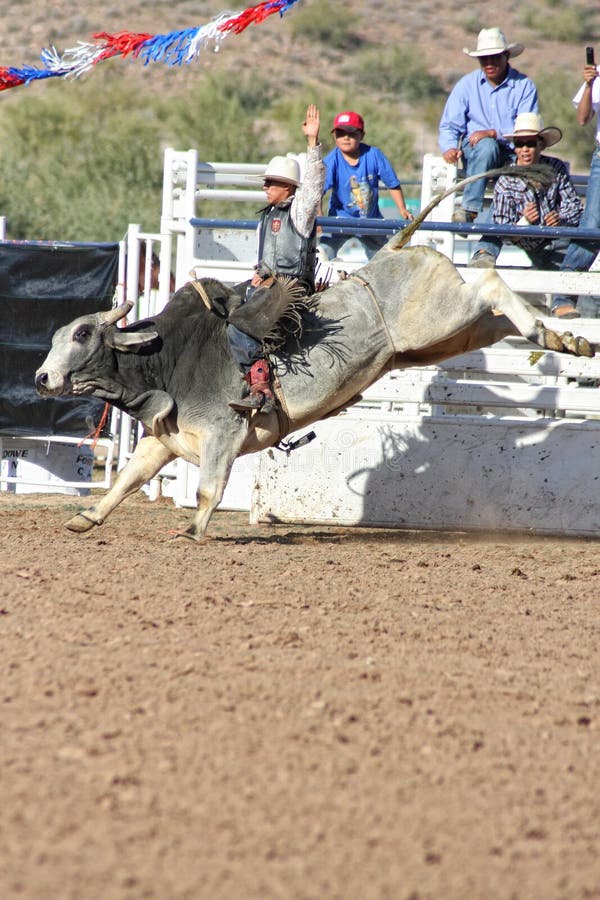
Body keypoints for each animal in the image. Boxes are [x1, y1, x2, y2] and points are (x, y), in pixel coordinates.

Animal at [35, 238, 594, 540]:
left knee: (489, 282)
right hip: (448, 335)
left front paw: (192, 530)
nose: (42, 378)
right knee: (498, 313)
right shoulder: (165, 439)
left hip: (441, 318)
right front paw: (86, 517)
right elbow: (127, 479)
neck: (168, 361)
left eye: (81, 335)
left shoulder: (222, 436)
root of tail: (401, 250)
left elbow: (209, 487)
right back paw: (561, 337)